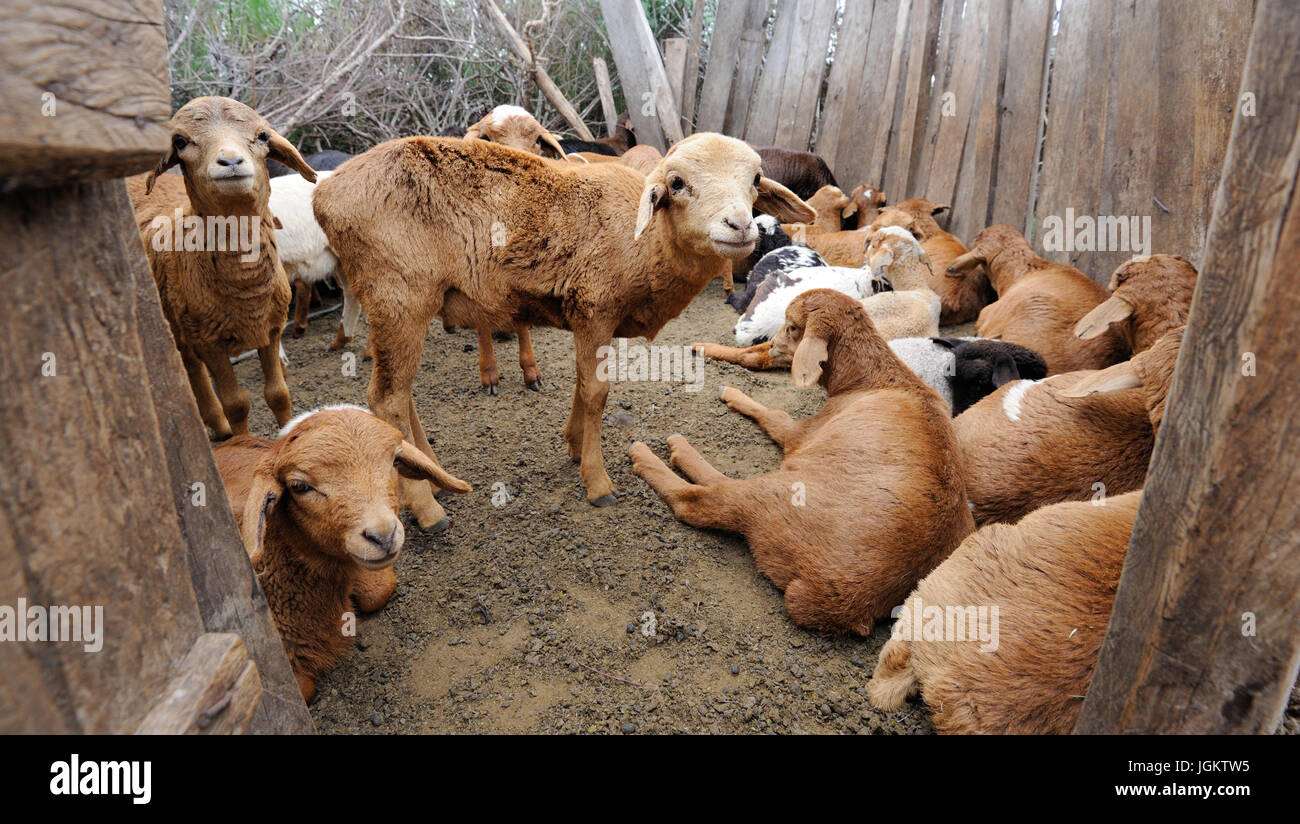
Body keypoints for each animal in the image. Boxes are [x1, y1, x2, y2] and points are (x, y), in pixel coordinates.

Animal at [127, 96, 316, 439]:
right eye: (180, 142)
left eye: (263, 136)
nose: (230, 161)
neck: (244, 287)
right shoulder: (210, 342)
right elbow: (236, 403)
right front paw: (242, 442)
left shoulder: (270, 329)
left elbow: (279, 395)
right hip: (178, 324)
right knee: (192, 371)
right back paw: (220, 427)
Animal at [313, 132, 813, 517]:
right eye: (677, 183)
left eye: (754, 180)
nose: (739, 225)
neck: (646, 243)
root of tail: (324, 192)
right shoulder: (595, 307)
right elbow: (596, 392)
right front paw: (597, 480)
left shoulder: (585, 314)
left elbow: (580, 382)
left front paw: (573, 445)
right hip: (397, 294)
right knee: (387, 398)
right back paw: (425, 505)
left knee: (399, 396)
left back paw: (431, 474)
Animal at [628, 289, 974, 634]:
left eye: (793, 326)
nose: (772, 344)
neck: (873, 378)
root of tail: (849, 601)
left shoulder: (802, 434)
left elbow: (774, 415)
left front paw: (733, 394)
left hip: (777, 496)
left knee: (700, 500)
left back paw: (659, 450)